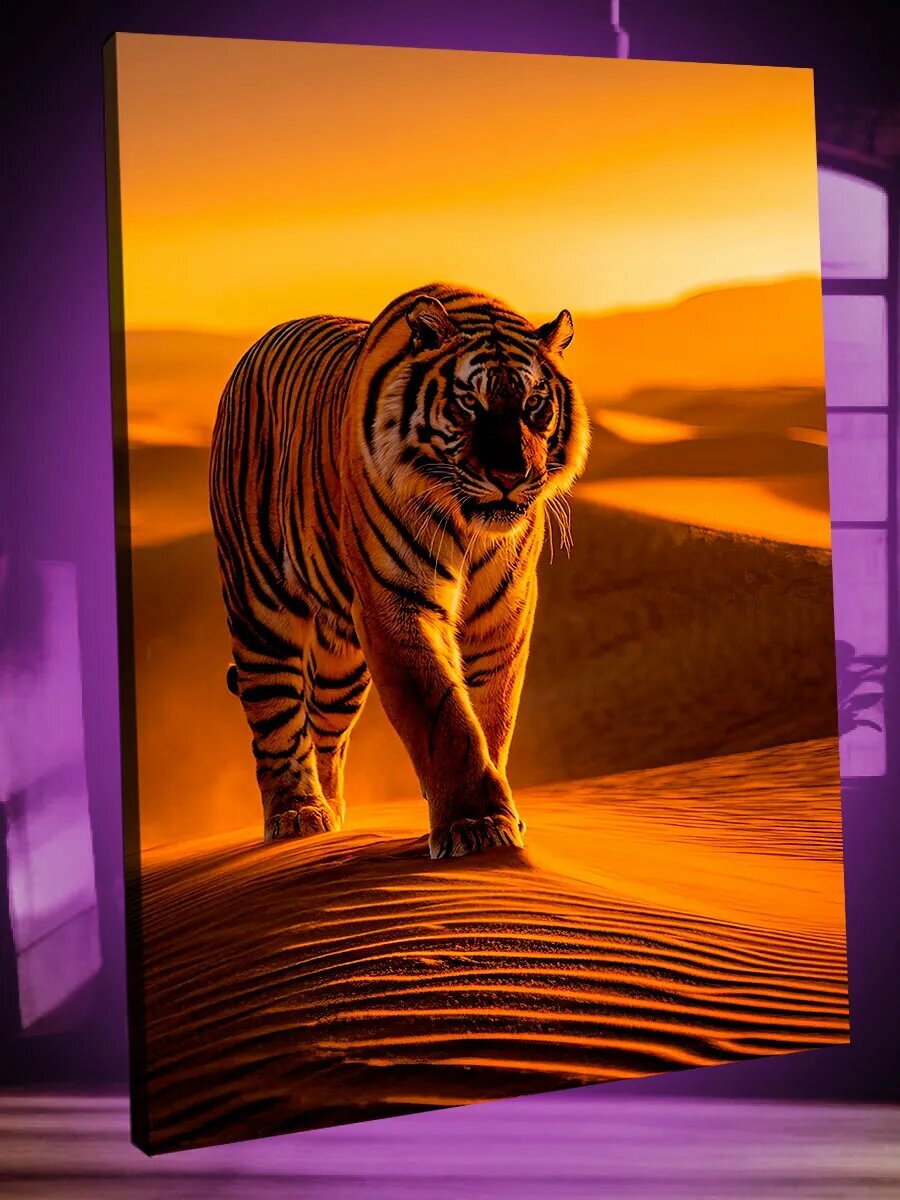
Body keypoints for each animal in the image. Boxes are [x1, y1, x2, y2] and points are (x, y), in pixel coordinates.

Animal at [209, 283, 590, 859]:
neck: (471, 528)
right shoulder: (396, 602)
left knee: (324, 729)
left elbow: (492, 714)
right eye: (469, 404)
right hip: (260, 606)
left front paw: (496, 811)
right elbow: (444, 717)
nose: (511, 476)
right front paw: (477, 824)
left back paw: (333, 814)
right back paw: (297, 815)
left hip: (344, 663)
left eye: (534, 405)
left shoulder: (504, 614)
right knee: (275, 715)